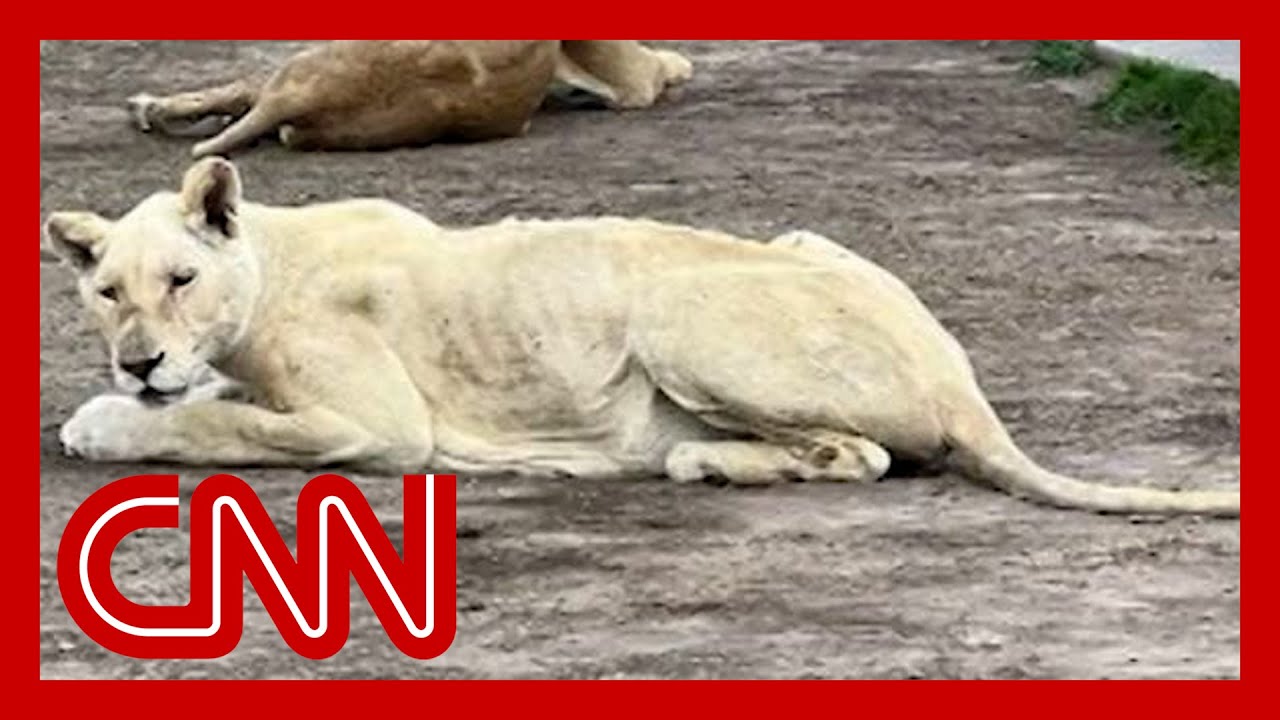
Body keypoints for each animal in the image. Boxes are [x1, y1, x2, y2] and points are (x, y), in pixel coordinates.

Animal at [44, 158, 1239, 517]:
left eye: (181, 280)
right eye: (104, 291)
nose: (136, 359)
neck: (267, 264)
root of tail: (961, 381)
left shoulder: (378, 426)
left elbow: (219, 430)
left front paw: (106, 419)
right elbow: (215, 406)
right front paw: (153, 392)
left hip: (673, 310)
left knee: (862, 453)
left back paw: (695, 459)